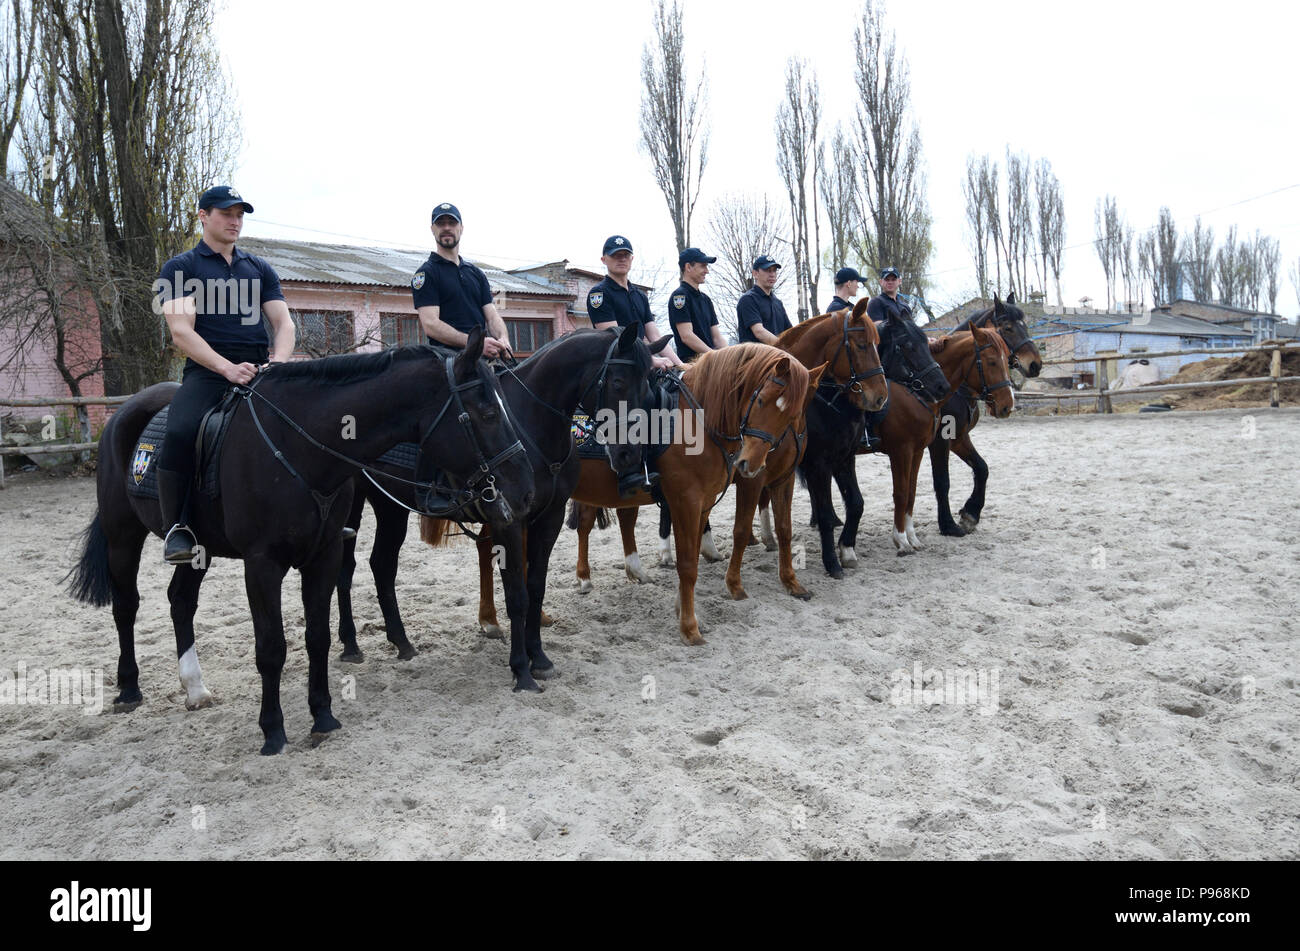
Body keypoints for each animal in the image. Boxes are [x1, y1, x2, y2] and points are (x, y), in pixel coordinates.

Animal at [65, 329, 535, 753]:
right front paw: (272, 731)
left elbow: (317, 637)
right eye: (487, 412)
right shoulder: (261, 564)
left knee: (181, 600)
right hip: (122, 534)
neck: (301, 447)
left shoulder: (323, 554)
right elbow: (271, 647)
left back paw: (195, 688)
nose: (524, 491)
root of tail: (124, 413)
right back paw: (129, 690)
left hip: (199, 549)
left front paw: (323, 716)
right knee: (126, 606)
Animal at [342, 325, 665, 692]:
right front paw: (521, 670)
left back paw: (402, 642)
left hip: (389, 508)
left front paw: (539, 658)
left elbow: (535, 587)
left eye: (649, 386)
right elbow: (517, 594)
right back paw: (351, 645)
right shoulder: (509, 521)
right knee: (345, 569)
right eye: (619, 382)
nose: (628, 454)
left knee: (381, 564)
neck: (530, 425)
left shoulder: (549, 518)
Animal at [566, 344, 820, 644]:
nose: (750, 464)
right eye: (760, 400)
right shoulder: (688, 501)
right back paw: (583, 580)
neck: (698, 422)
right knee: (585, 524)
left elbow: (701, 555)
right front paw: (690, 627)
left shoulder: (709, 501)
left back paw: (628, 572)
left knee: (614, 520)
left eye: (791, 415)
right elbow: (692, 560)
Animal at [874, 325, 1015, 555]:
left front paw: (970, 514)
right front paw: (948, 524)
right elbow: (942, 481)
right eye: (992, 361)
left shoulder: (958, 438)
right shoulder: (939, 442)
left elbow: (982, 468)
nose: (1007, 405)